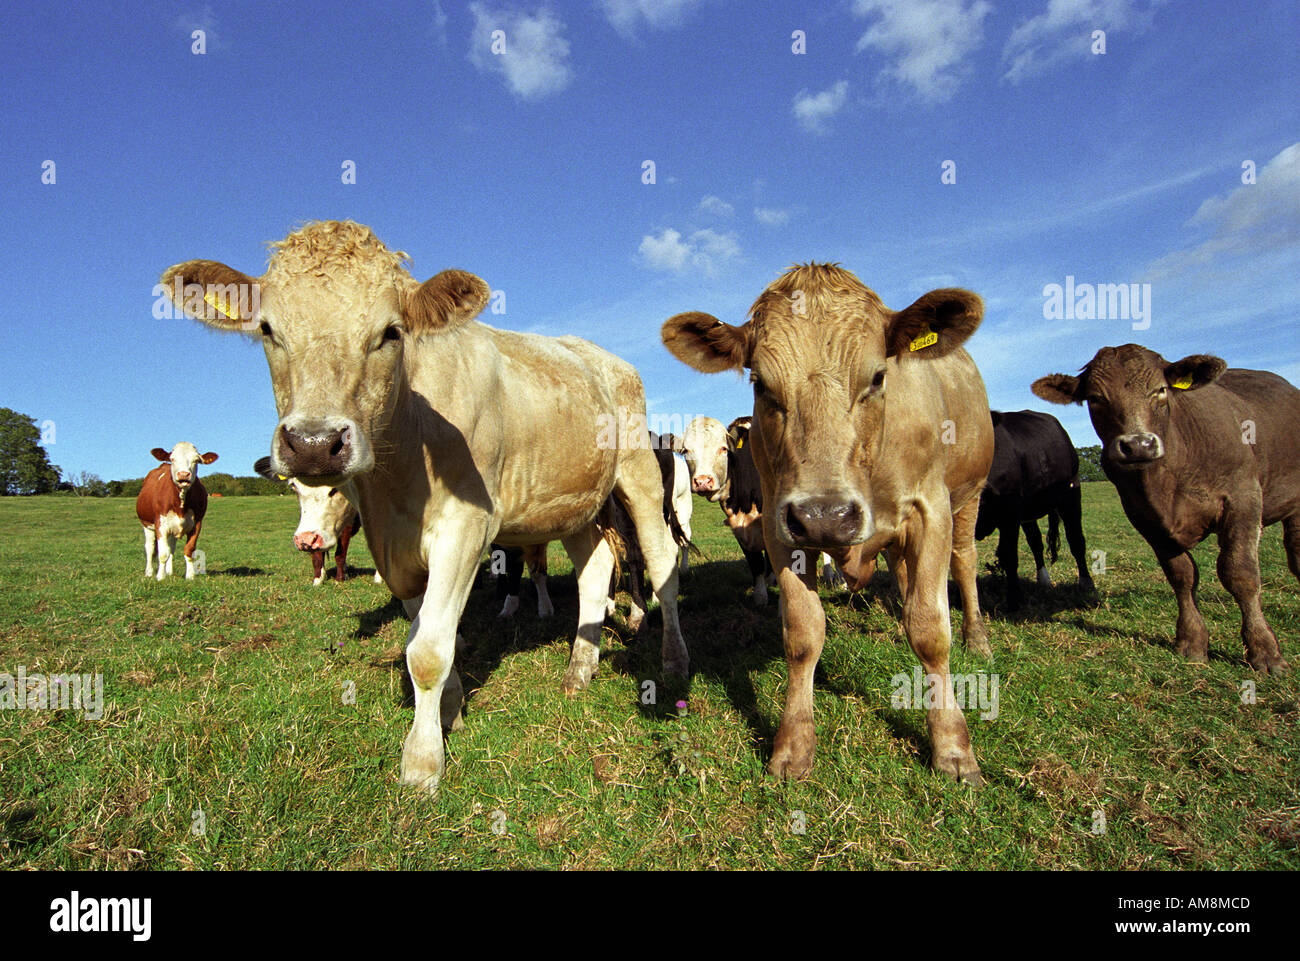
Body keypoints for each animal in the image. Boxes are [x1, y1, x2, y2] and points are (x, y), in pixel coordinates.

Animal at [136, 443, 217, 580]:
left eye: (196, 460)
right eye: (172, 459)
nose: (183, 474)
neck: (181, 504)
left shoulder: (197, 524)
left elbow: (188, 550)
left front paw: (190, 576)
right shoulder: (160, 525)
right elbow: (162, 553)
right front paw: (160, 577)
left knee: (171, 548)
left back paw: (169, 571)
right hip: (146, 524)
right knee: (150, 547)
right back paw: (149, 572)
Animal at [254, 456, 382, 586]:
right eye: (293, 485)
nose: (303, 539)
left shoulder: (347, 524)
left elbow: (340, 554)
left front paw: (339, 579)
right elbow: (317, 555)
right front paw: (318, 579)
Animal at [663, 263, 994, 784]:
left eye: (878, 376)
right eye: (760, 384)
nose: (825, 516)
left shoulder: (931, 510)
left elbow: (930, 627)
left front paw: (953, 747)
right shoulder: (781, 526)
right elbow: (802, 633)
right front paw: (793, 747)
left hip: (969, 498)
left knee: (964, 563)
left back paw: (976, 638)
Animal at [975, 410, 1094, 609]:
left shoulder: (1009, 513)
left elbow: (1009, 555)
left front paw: (1014, 601)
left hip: (1070, 495)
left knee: (1076, 540)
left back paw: (1087, 583)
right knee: (1036, 542)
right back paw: (1044, 579)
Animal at [1033, 345, 1299, 673]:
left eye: (1160, 390)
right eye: (1095, 398)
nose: (1138, 445)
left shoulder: (1243, 498)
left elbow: (1240, 574)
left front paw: (1264, 651)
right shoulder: (1144, 517)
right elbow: (1181, 575)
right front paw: (1191, 641)